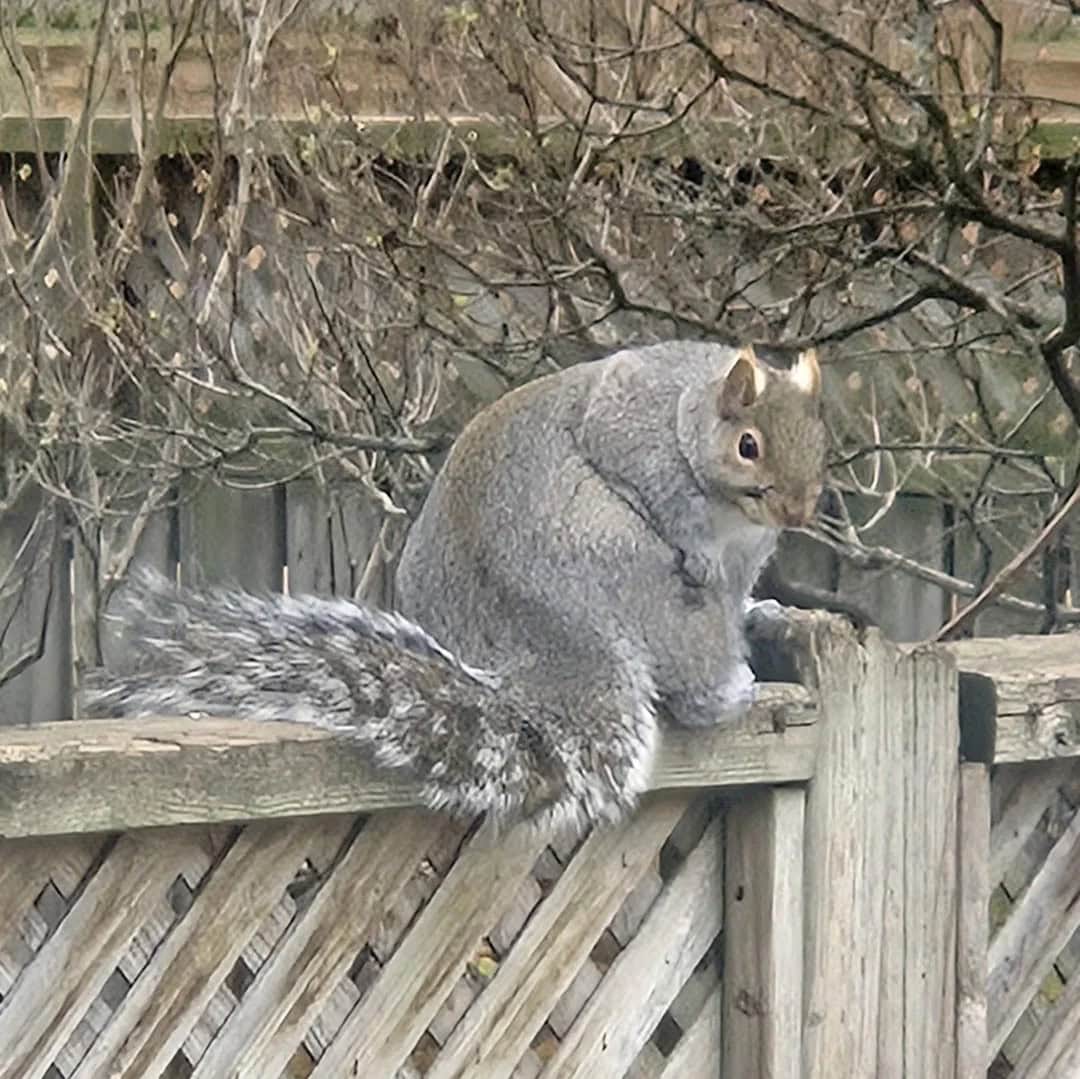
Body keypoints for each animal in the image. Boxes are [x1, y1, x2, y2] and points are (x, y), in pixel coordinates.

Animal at [88, 341, 826, 834]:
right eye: (749, 446)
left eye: (820, 439)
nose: (797, 511)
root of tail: (549, 640)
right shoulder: (631, 429)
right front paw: (703, 556)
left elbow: (739, 586)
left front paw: (760, 604)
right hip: (634, 570)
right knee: (687, 661)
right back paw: (727, 689)